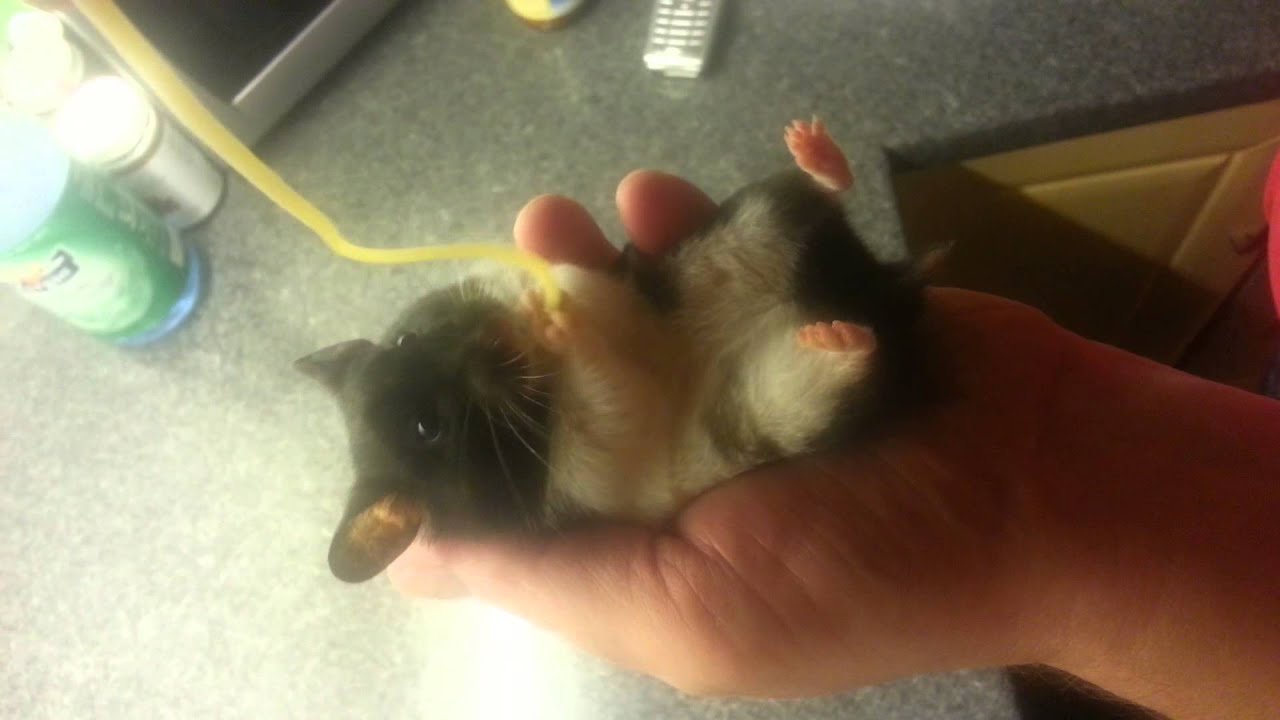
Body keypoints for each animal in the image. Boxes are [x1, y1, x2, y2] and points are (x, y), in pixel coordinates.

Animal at [296, 119, 925, 583]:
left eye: (406, 339)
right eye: (428, 429)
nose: (490, 334)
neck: (543, 391)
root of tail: (871, 283)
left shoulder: (600, 288)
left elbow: (565, 283)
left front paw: (532, 302)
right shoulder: (594, 458)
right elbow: (601, 379)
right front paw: (551, 322)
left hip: (759, 216)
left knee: (818, 194)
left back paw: (810, 148)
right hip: (794, 404)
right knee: (859, 360)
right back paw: (835, 336)